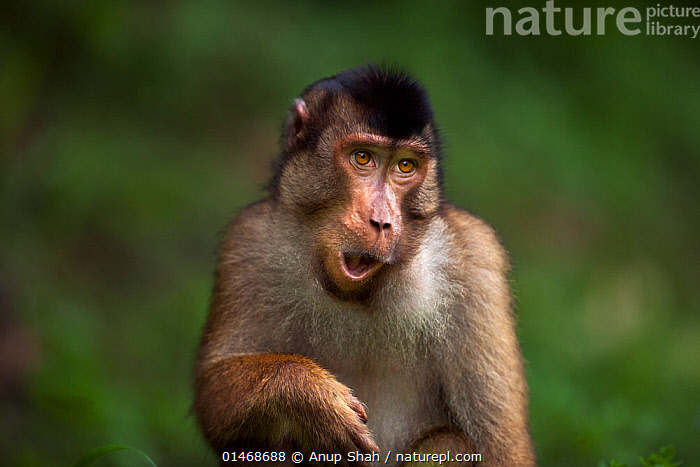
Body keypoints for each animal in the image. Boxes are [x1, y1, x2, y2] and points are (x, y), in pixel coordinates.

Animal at [193, 65, 535, 466]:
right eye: (362, 158)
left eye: (405, 165)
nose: (381, 221)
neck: (355, 295)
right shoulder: (249, 244)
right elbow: (212, 397)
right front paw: (307, 395)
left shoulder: (474, 258)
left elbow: (500, 446)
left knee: (450, 444)